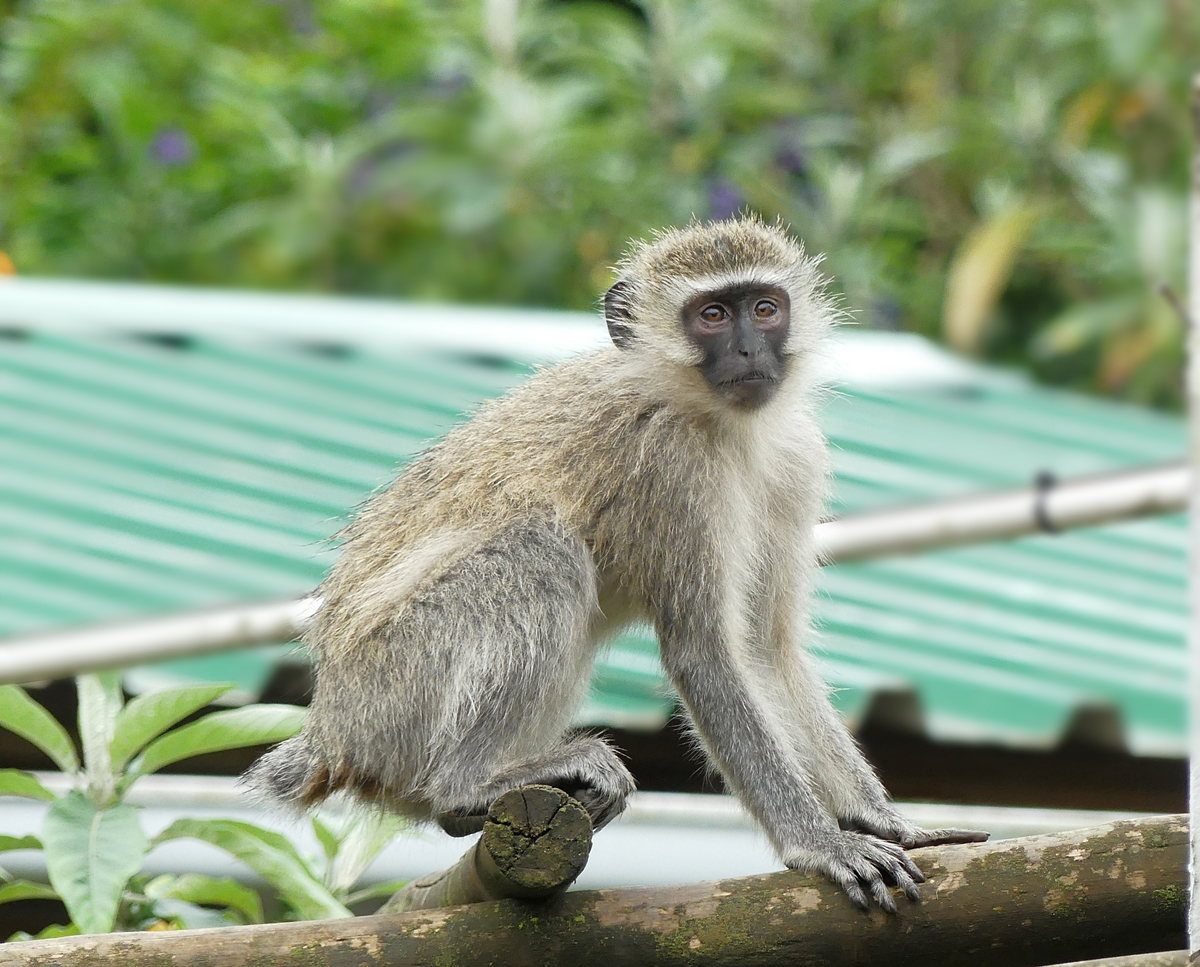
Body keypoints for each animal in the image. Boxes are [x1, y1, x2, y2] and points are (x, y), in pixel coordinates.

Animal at [244, 215, 987, 912]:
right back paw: (469, 786)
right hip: (395, 688)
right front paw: (821, 844)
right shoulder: (669, 466)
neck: (722, 424)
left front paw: (883, 820)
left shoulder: (797, 458)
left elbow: (766, 648)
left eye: (764, 307)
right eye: (712, 315)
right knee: (541, 550)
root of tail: (332, 726)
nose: (750, 348)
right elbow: (705, 652)